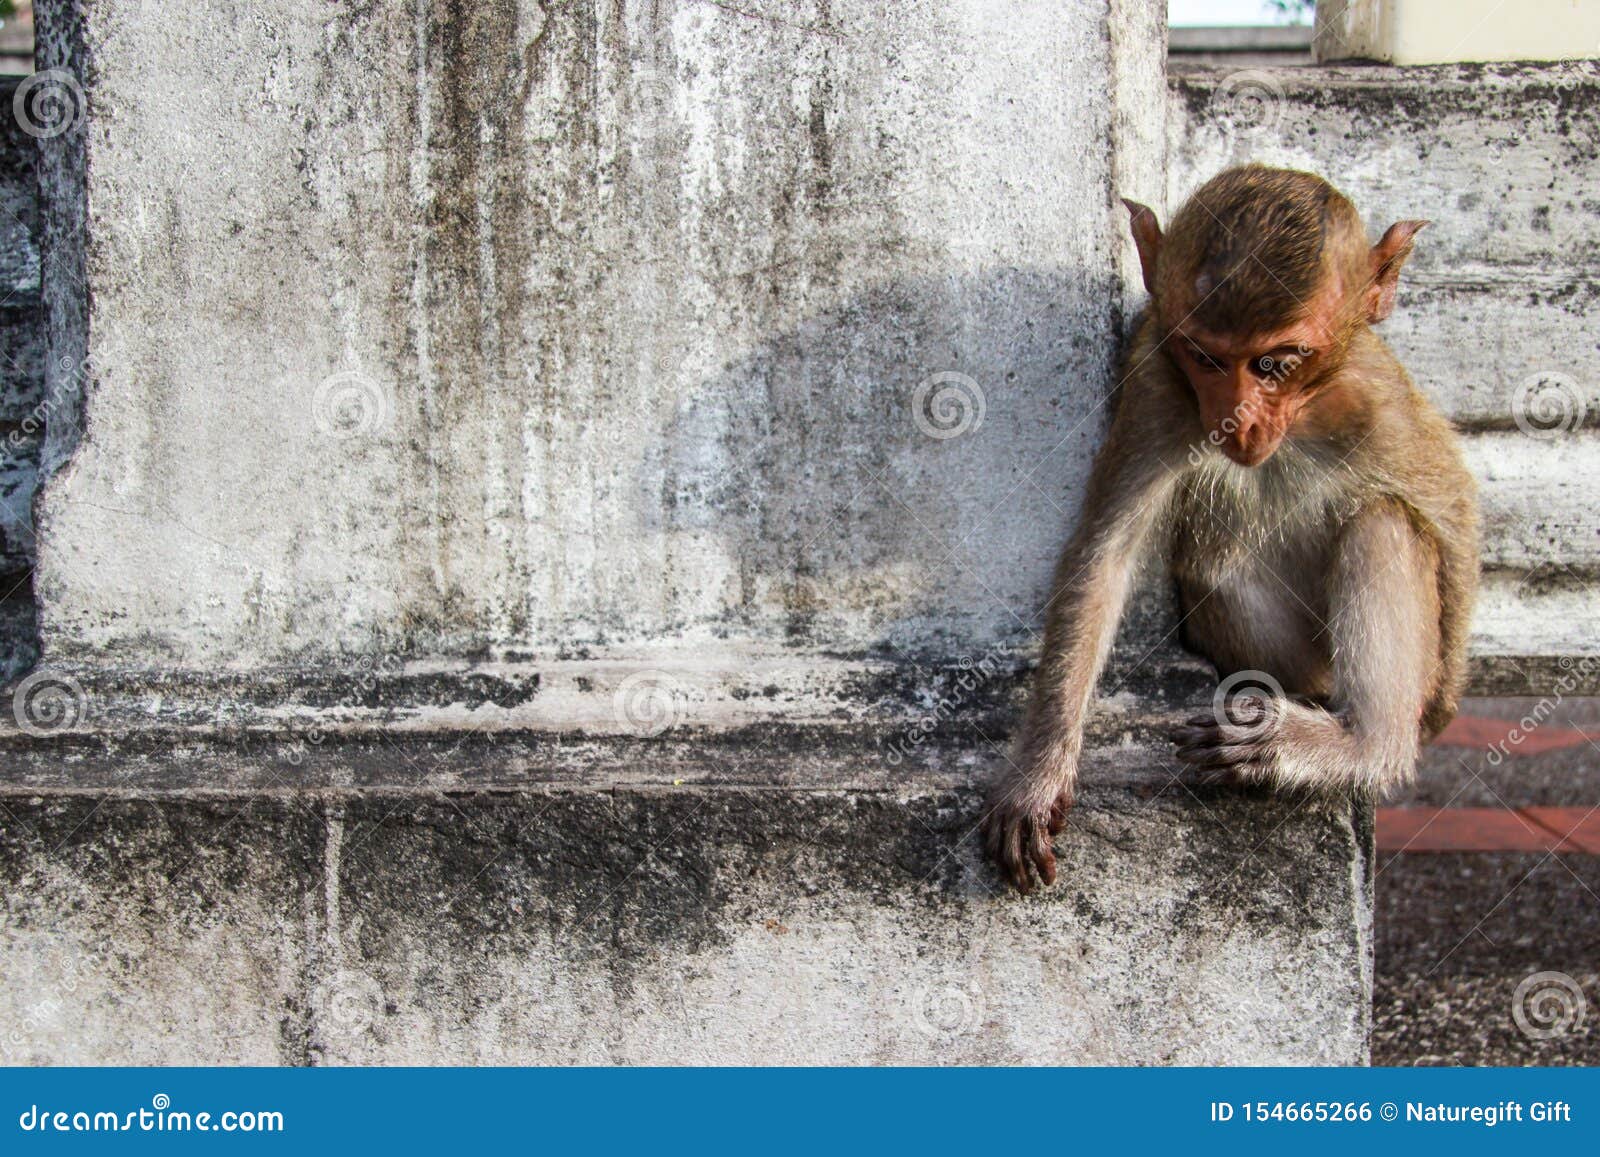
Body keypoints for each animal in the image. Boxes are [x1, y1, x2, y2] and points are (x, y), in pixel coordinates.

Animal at [982, 164, 1479, 893]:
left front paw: (1438, 710)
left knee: (1384, 517)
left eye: (1277, 362)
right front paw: (1040, 771)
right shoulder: (1157, 379)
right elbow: (1107, 553)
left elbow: (1450, 507)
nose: (1239, 422)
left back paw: (1360, 745)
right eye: (1207, 358)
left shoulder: (1371, 395)